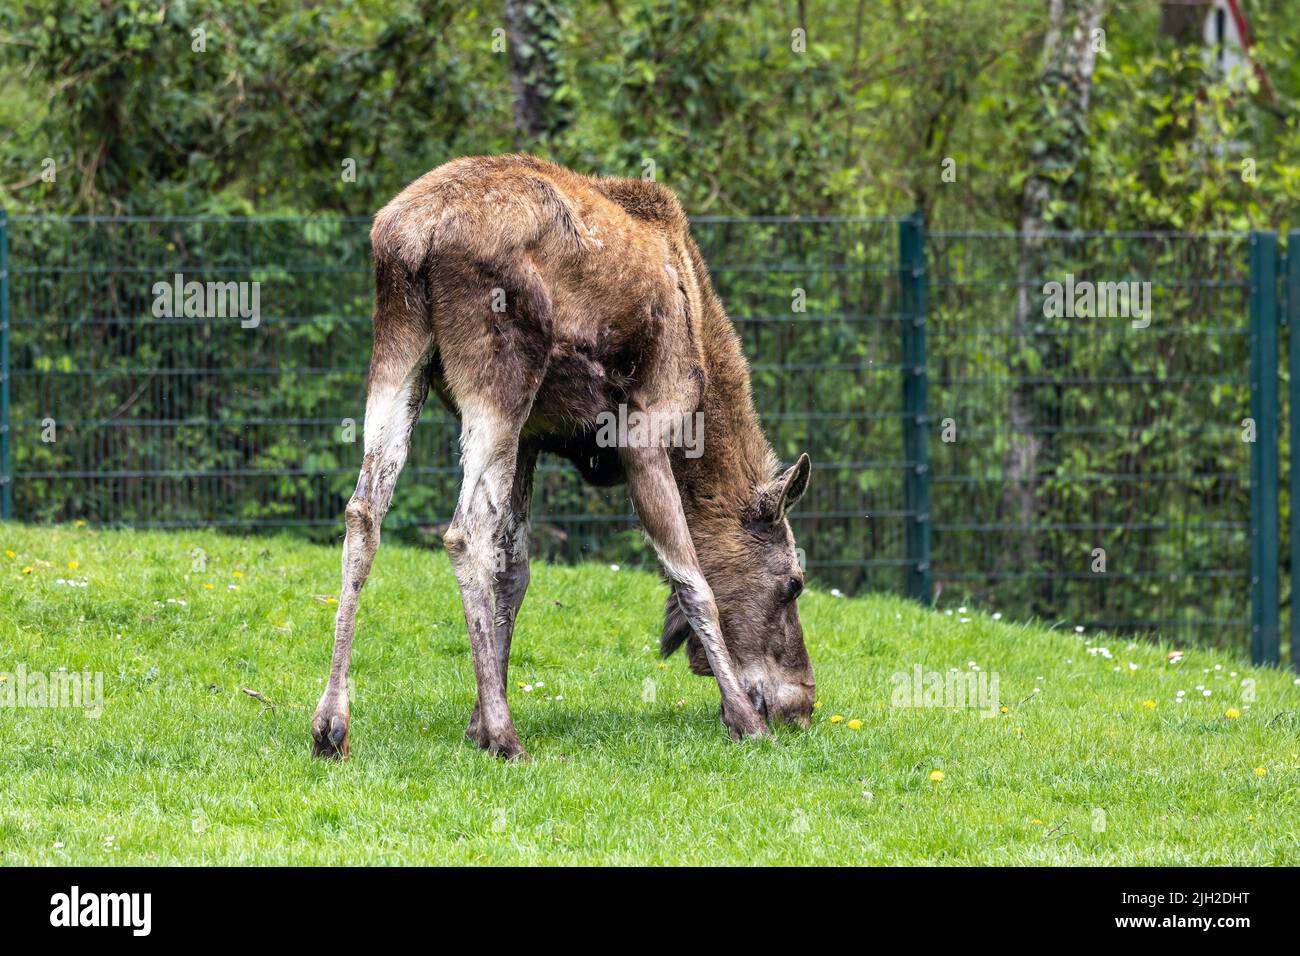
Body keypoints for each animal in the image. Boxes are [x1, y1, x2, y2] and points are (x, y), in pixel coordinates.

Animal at [311, 155, 815, 761]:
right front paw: (743, 719)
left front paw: (478, 721)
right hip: (501, 371)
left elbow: (516, 574)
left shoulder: (532, 439)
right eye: (794, 583)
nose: (804, 704)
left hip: (398, 353)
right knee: (463, 533)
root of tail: (413, 236)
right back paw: (508, 738)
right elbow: (692, 580)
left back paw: (332, 725)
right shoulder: (647, 427)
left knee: (363, 511)